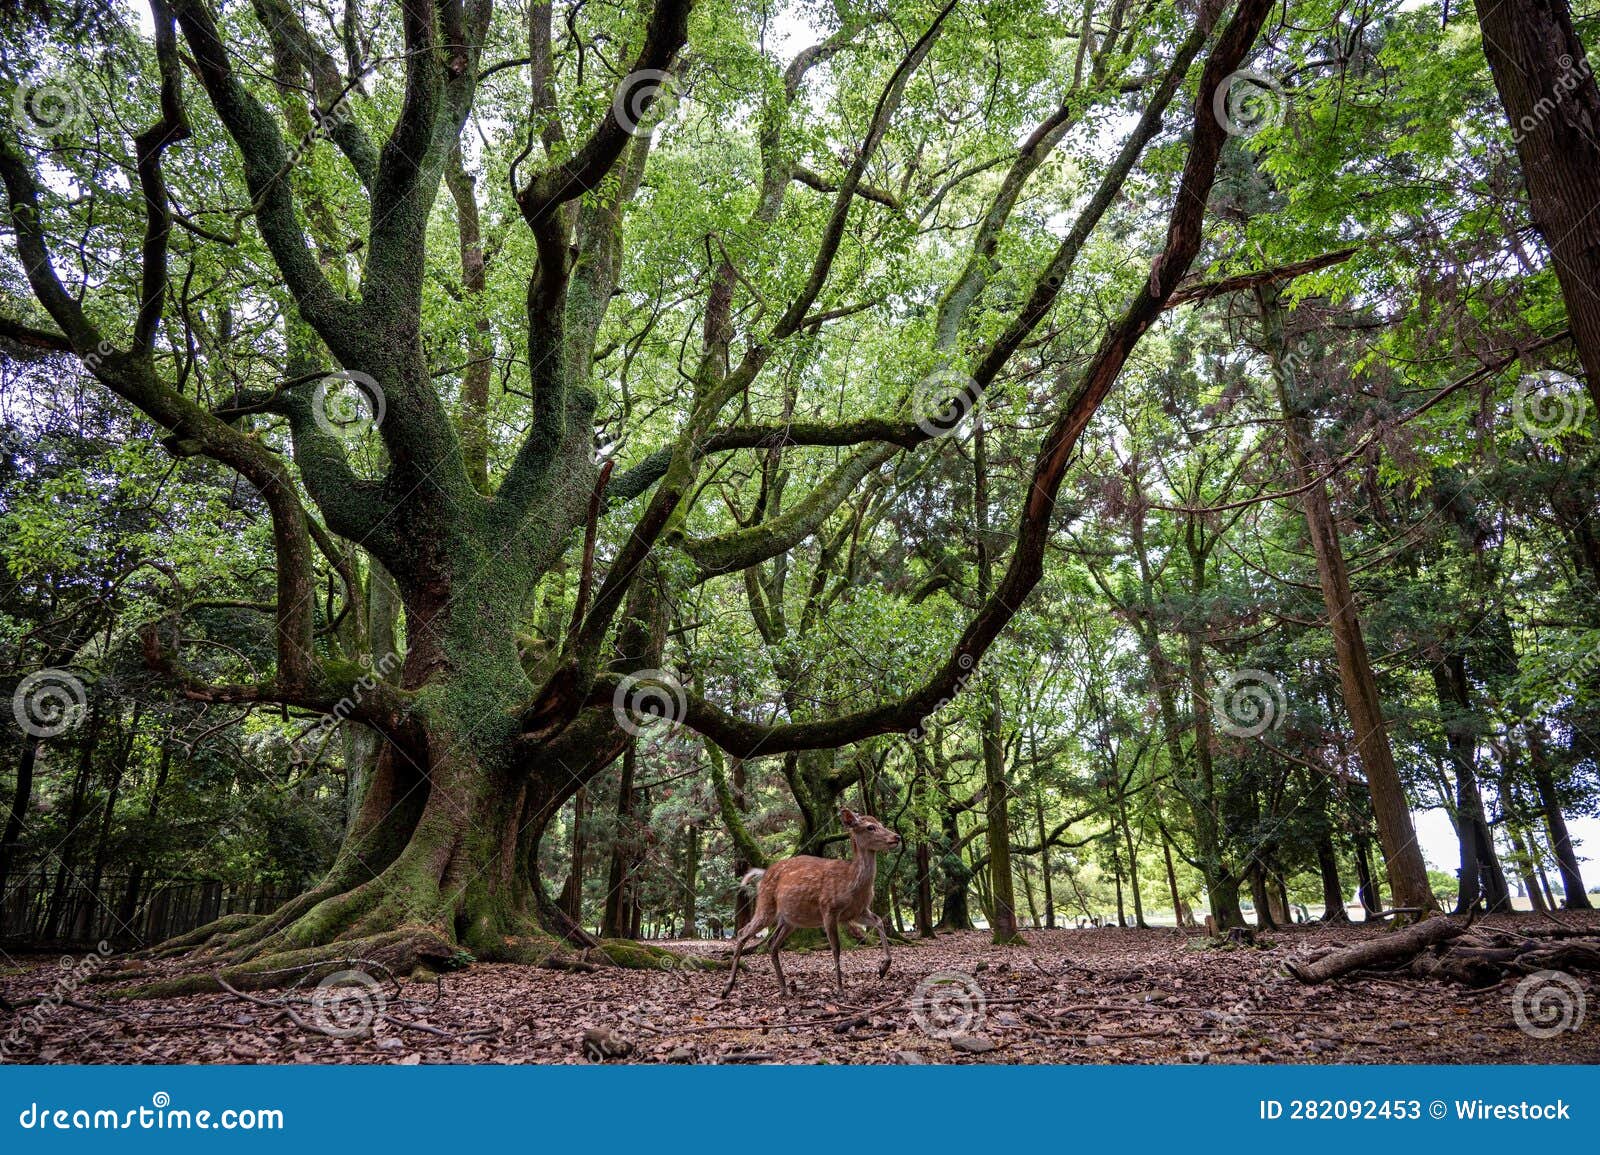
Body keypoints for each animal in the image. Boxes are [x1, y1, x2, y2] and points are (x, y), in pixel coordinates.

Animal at [722, 807, 902, 998]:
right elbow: (836, 948)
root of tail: (763, 874)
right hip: (765, 905)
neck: (851, 882)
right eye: (870, 827)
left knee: (772, 944)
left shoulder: (858, 911)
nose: (896, 837)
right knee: (743, 933)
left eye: (881, 823)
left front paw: (883, 968)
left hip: (790, 920)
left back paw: (784, 988)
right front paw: (840, 989)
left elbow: (879, 921)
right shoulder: (829, 908)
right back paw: (727, 988)